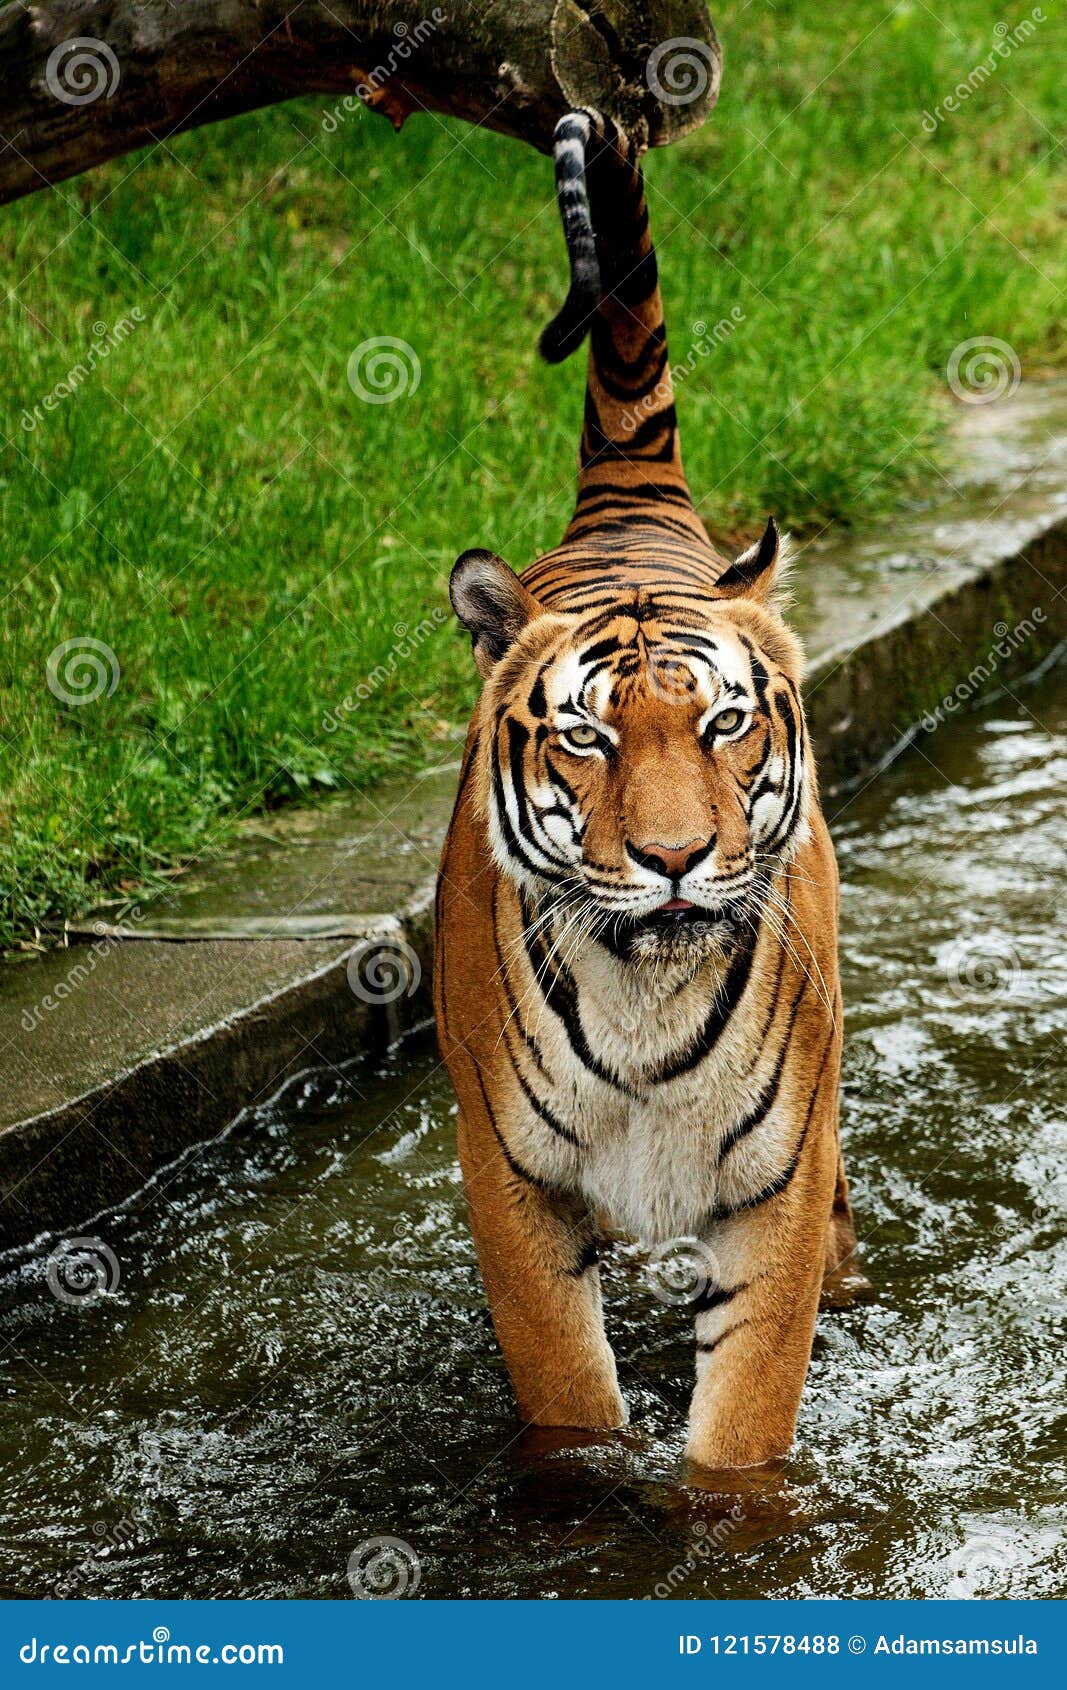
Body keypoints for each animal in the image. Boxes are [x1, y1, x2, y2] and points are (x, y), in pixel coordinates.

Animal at [434, 110, 857, 1472]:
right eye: (586, 737)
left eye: (722, 724)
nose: (673, 858)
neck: (642, 1005)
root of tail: (628, 501)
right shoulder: (508, 1186)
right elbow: (569, 1397)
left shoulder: (775, 1188)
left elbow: (741, 1426)